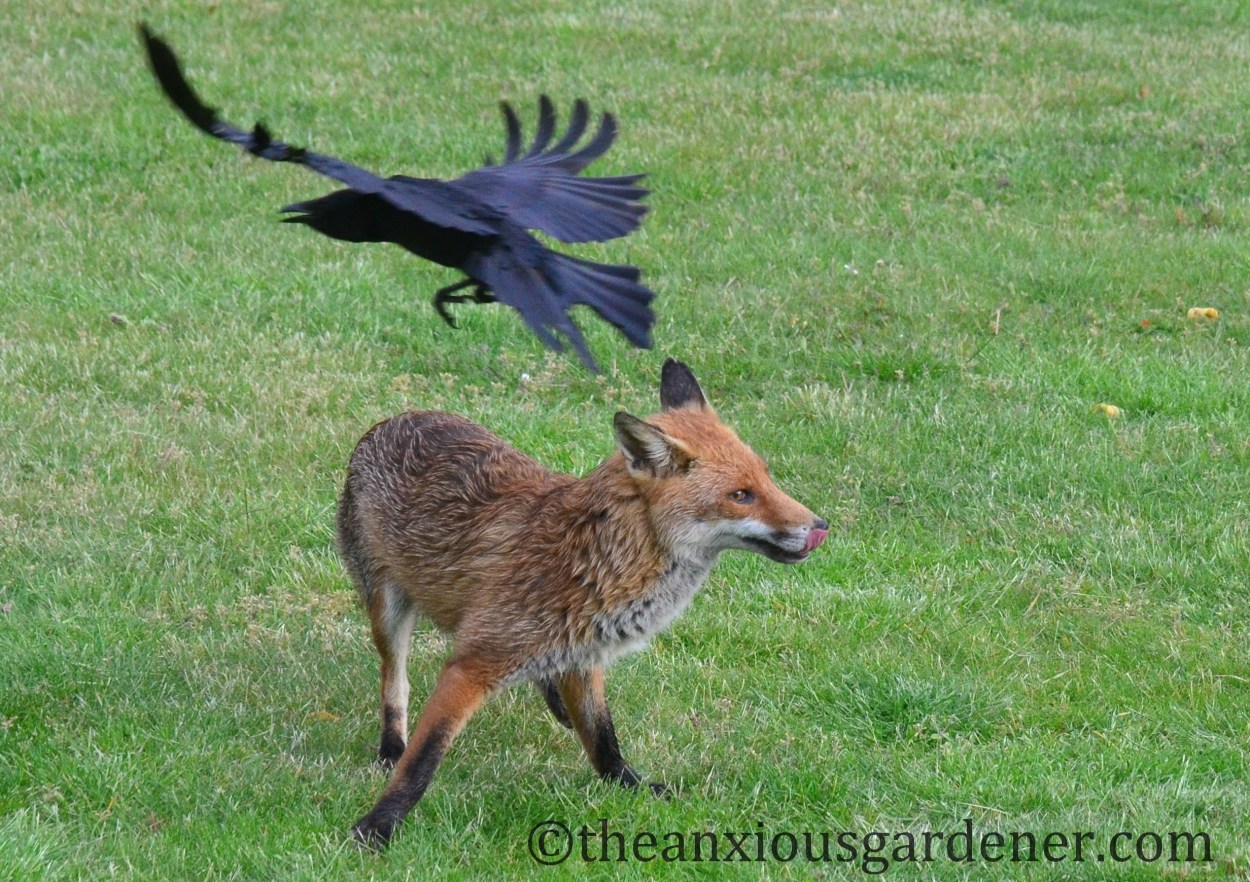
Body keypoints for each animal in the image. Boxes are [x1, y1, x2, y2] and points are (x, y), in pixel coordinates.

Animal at [336, 358, 828, 847]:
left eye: (766, 477)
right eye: (740, 495)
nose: (820, 526)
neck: (597, 560)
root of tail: (394, 420)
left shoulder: (583, 655)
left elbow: (603, 737)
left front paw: (630, 786)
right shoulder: (472, 666)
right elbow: (423, 759)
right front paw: (378, 825)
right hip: (387, 612)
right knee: (394, 682)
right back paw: (390, 746)